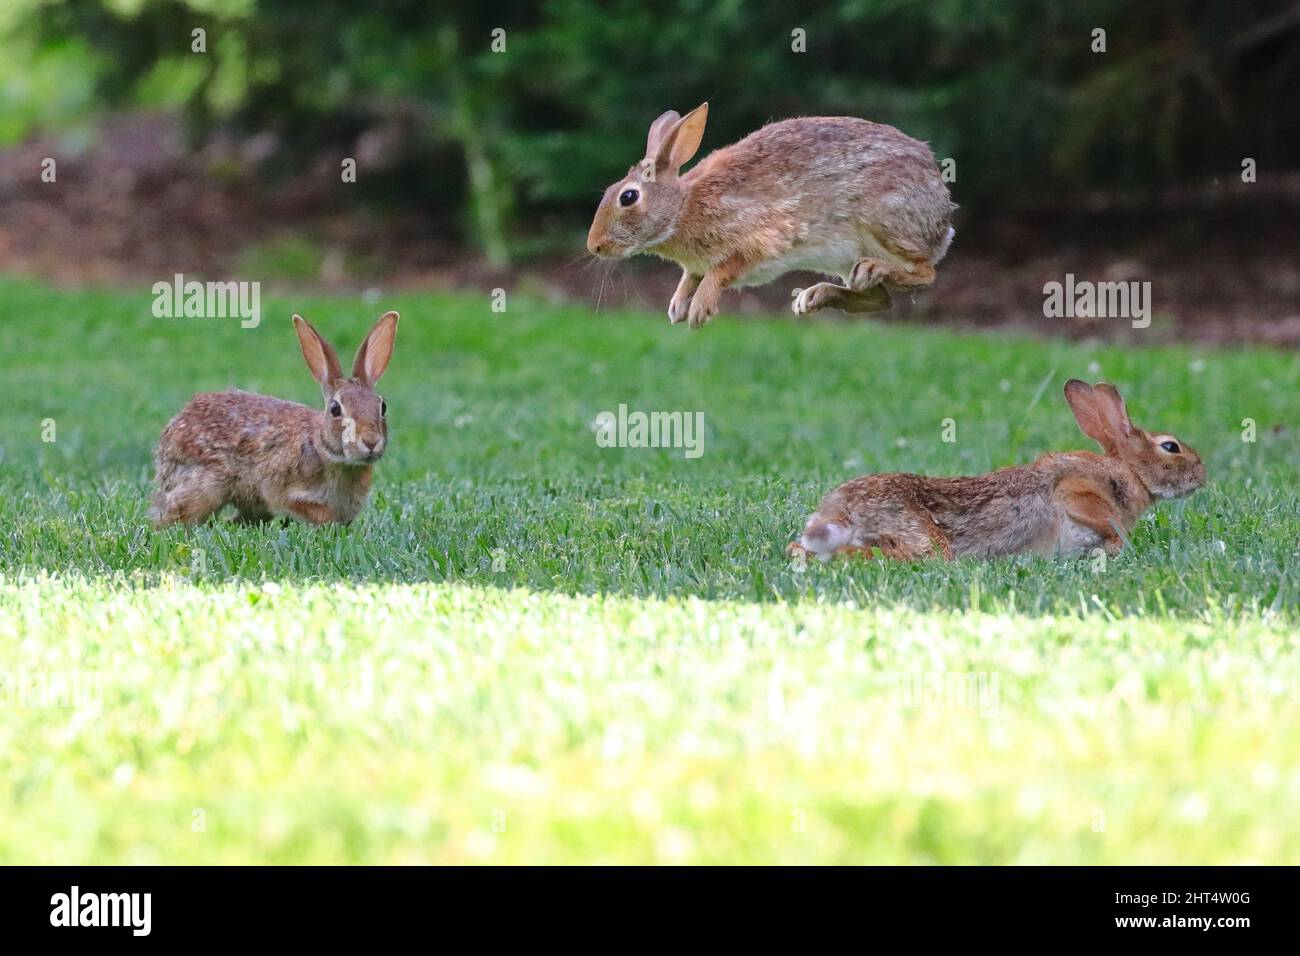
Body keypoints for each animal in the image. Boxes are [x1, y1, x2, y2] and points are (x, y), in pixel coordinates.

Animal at [150, 311, 398, 528]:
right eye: (335, 409)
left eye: (383, 406)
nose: (371, 441)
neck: (324, 450)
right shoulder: (280, 490)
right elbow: (308, 509)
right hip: (205, 489)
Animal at [586, 102, 956, 329]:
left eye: (628, 197)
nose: (595, 246)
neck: (681, 207)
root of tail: (943, 210)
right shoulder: (696, 265)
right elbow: (690, 276)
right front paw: (677, 308)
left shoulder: (758, 238)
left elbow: (720, 272)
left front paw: (699, 311)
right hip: (845, 258)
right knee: (880, 299)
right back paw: (813, 297)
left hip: (884, 227)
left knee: (925, 272)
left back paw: (868, 271)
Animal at [787, 380, 1206, 562]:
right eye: (1171, 446)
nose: (1203, 475)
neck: (1129, 471)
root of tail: (842, 508)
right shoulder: (1079, 489)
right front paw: (1116, 546)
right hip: (921, 540)